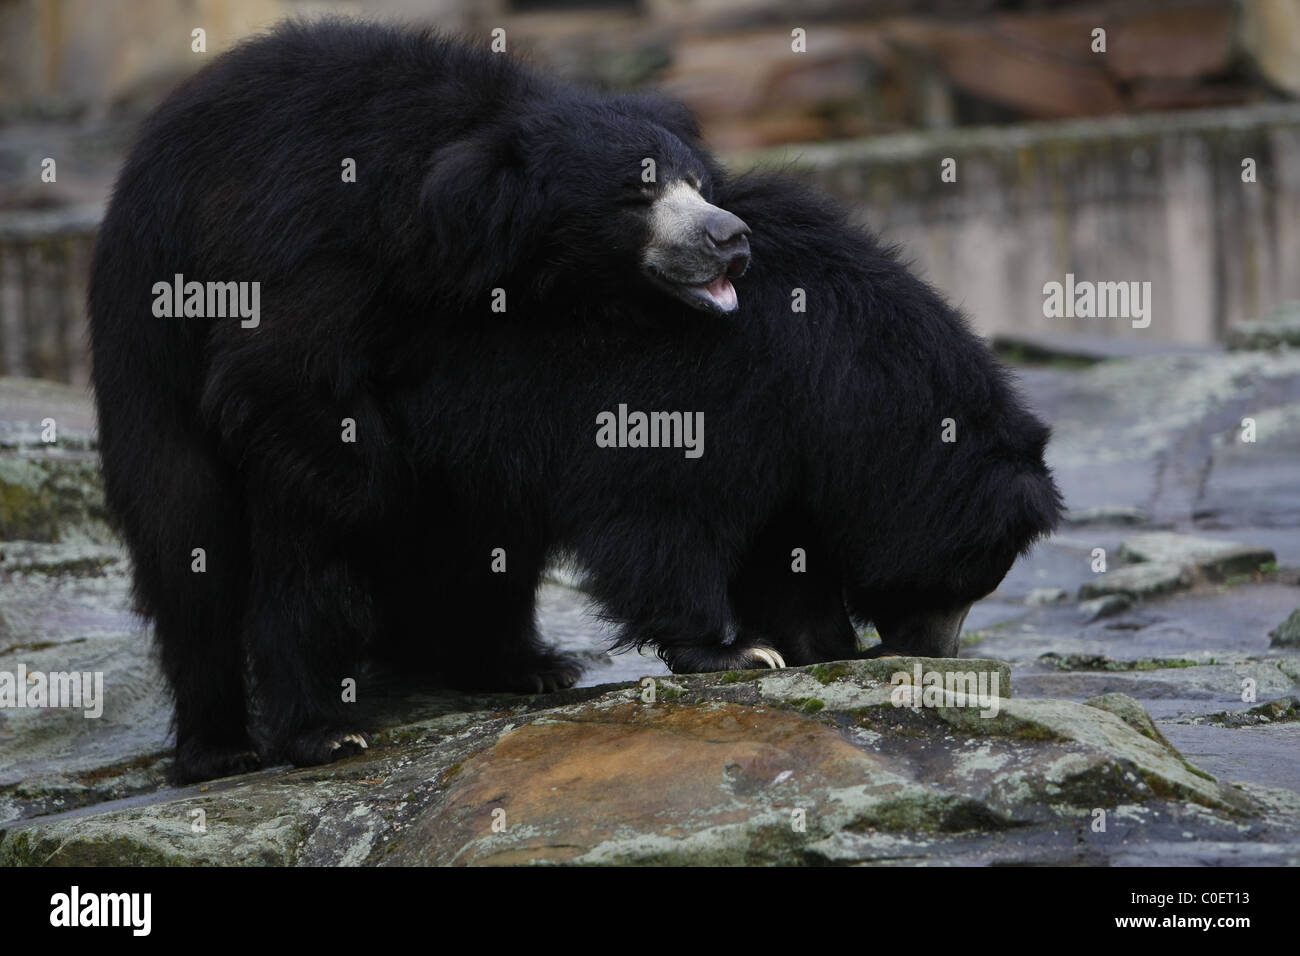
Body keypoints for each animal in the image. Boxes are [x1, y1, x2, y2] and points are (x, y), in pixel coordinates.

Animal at [88, 19, 1060, 784]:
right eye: (970, 579)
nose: (936, 652)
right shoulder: (719, 393)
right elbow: (663, 516)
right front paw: (737, 647)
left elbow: (784, 541)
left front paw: (814, 640)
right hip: (185, 368)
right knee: (230, 551)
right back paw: (285, 737)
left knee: (479, 555)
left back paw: (513, 667)